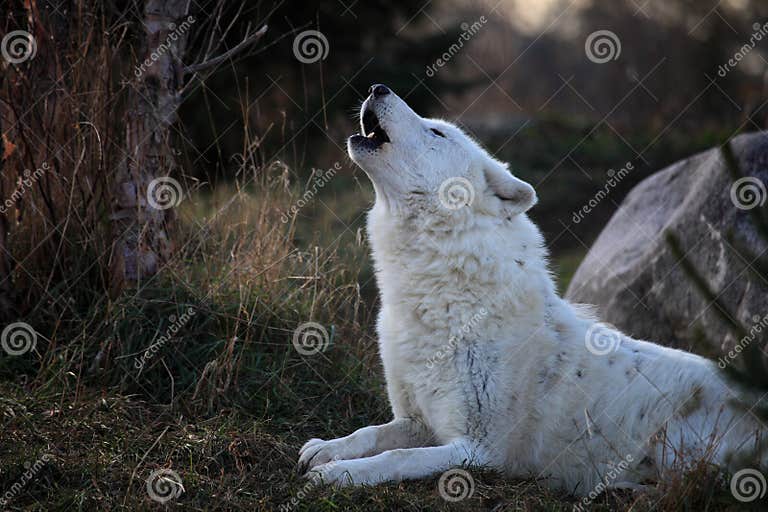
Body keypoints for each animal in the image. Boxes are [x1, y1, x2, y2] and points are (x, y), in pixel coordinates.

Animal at [298, 84, 767, 495]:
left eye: (436, 132)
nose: (377, 87)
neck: (438, 299)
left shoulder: (479, 449)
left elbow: (396, 458)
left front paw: (338, 474)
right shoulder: (416, 419)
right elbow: (369, 433)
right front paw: (325, 450)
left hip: (680, 444)